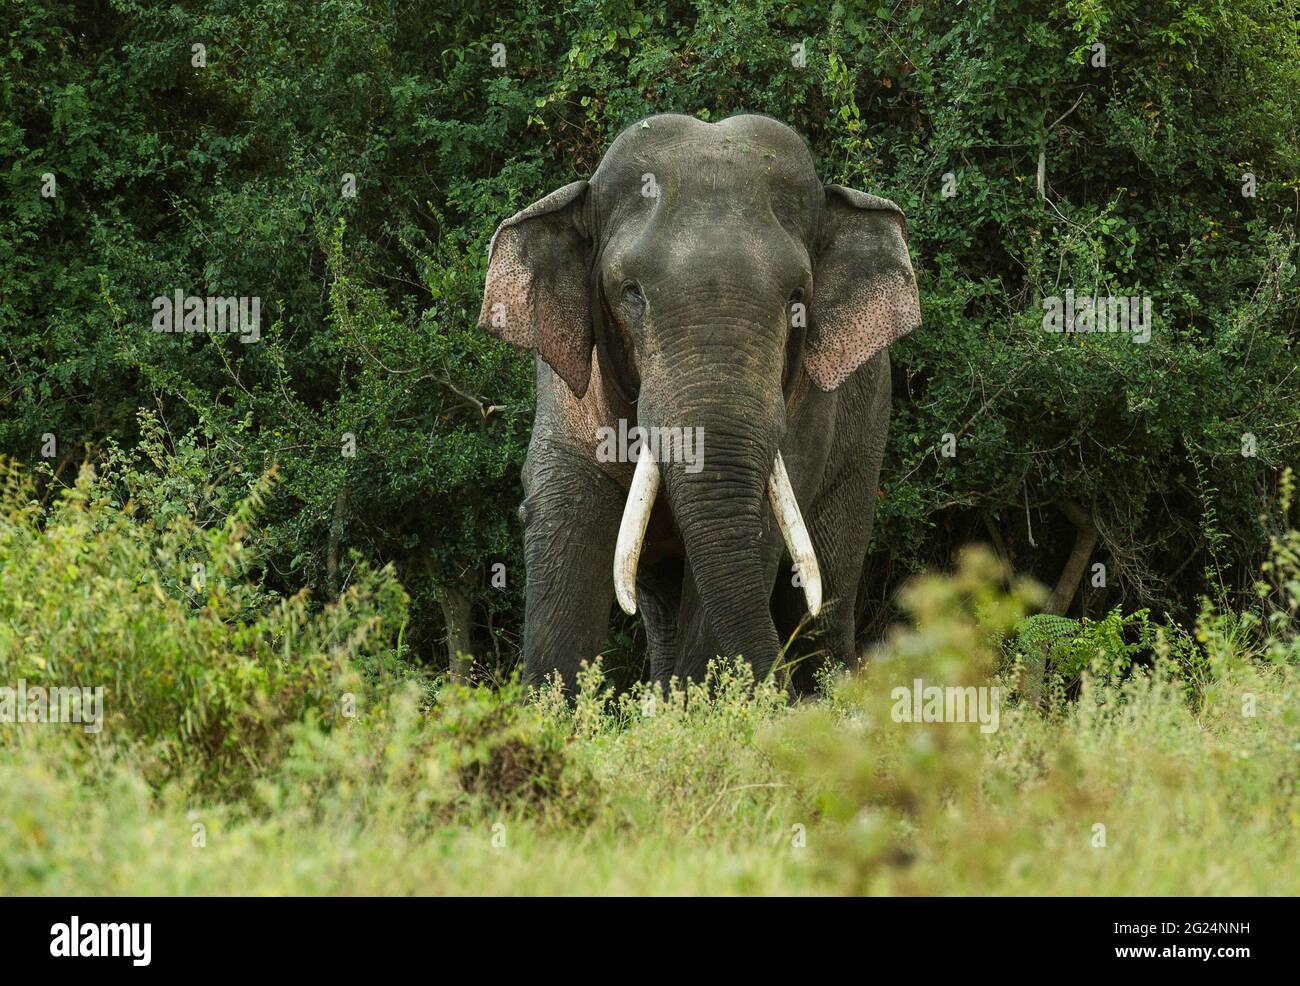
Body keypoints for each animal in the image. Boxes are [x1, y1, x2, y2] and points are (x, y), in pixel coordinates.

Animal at [473, 113, 920, 697]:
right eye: (631, 291)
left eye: (797, 298)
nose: (771, 689)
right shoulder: (569, 389)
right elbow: (563, 512)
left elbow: (755, 532)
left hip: (866, 431)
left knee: (822, 597)